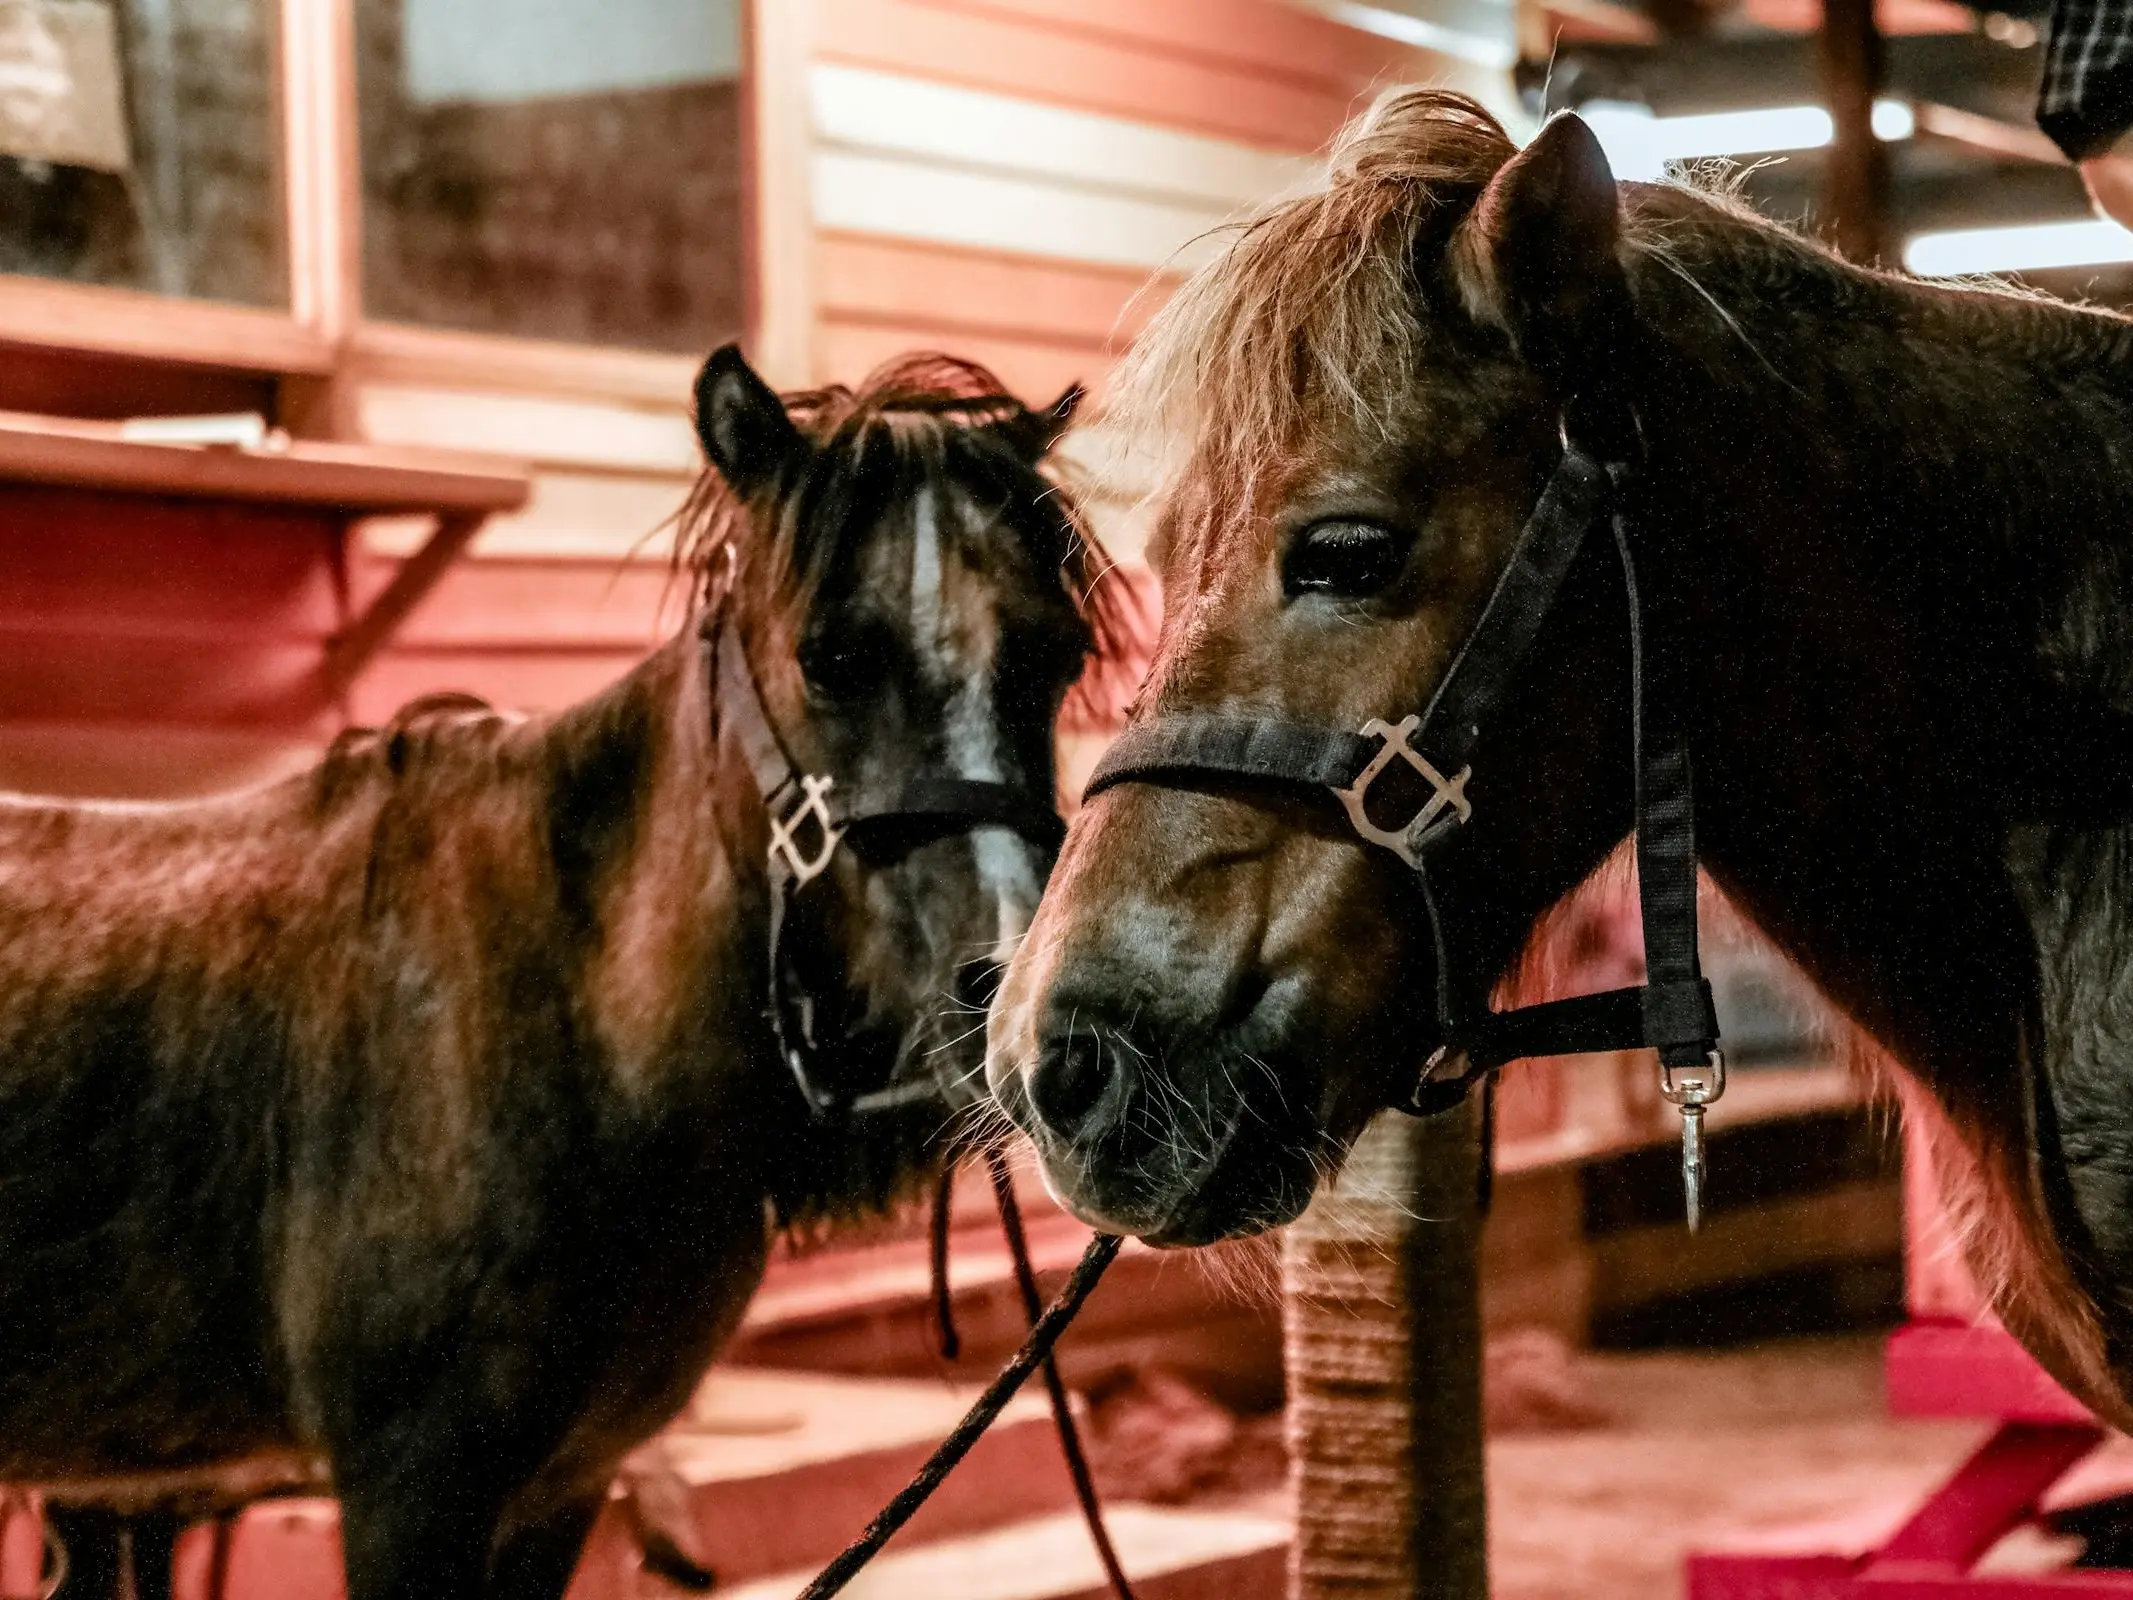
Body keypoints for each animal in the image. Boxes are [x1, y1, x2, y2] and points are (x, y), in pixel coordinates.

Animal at [0, 345, 1117, 1600]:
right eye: (832, 656)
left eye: (1058, 655)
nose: (1022, 1002)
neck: (564, 1030)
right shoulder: (408, 1490)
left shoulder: (562, 1485)